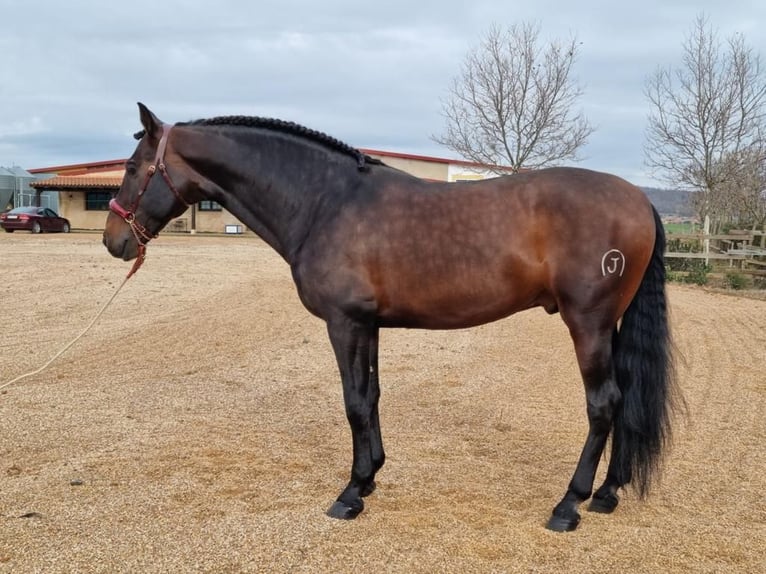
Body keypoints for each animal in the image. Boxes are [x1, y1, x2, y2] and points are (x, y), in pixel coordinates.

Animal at [103, 103, 679, 532]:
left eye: (131, 168)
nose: (114, 240)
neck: (326, 201)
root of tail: (639, 199)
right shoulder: (369, 325)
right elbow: (373, 397)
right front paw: (372, 476)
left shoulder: (345, 323)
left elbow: (354, 403)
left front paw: (351, 493)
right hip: (610, 326)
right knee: (625, 398)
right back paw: (607, 493)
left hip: (588, 324)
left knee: (603, 404)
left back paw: (569, 505)